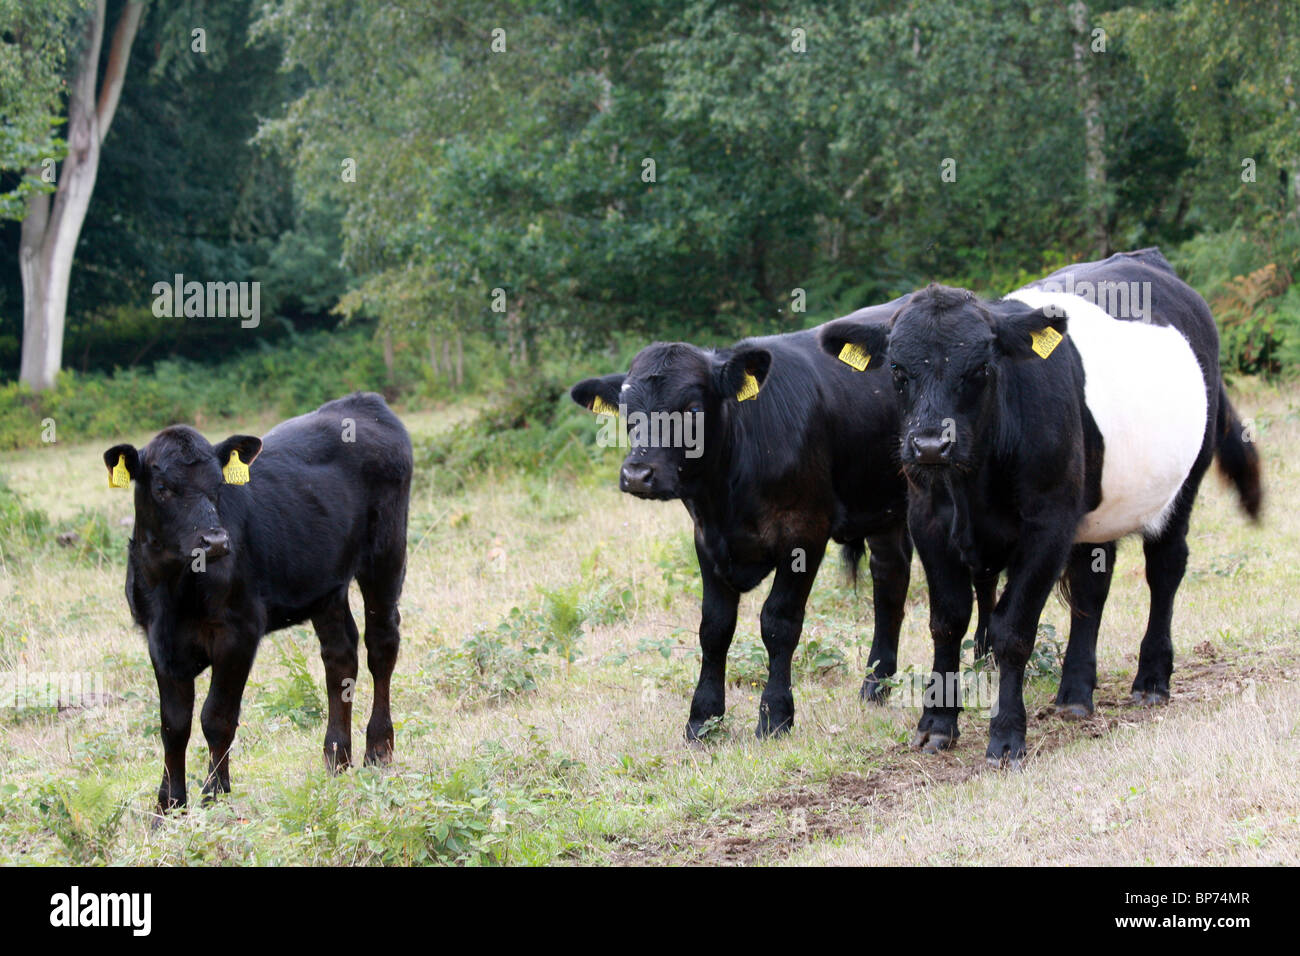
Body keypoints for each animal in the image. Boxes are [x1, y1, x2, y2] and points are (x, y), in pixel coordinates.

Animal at [103, 392, 412, 812]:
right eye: (162, 487)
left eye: (218, 484)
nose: (215, 541)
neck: (174, 588)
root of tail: (365, 402)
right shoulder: (158, 640)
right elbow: (173, 724)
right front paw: (168, 807)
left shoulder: (239, 631)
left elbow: (216, 716)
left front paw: (215, 796)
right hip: (326, 584)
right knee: (340, 657)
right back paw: (336, 757)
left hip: (386, 554)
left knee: (381, 645)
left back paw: (378, 749)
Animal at [571, 300, 963, 740]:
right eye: (627, 412)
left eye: (692, 408)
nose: (638, 474)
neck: (725, 495)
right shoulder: (707, 540)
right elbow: (714, 628)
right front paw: (703, 718)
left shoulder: (805, 532)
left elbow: (778, 622)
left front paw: (775, 715)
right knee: (890, 583)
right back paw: (875, 686)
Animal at [820, 248, 1261, 765]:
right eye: (897, 371)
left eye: (981, 369)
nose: (930, 445)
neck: (973, 484)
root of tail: (1147, 259)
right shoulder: (927, 520)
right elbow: (947, 621)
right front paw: (936, 723)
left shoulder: (1047, 526)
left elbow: (1012, 631)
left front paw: (1007, 736)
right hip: (1096, 509)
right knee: (1093, 586)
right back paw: (1075, 694)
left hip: (1184, 481)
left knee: (1165, 569)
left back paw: (1151, 679)